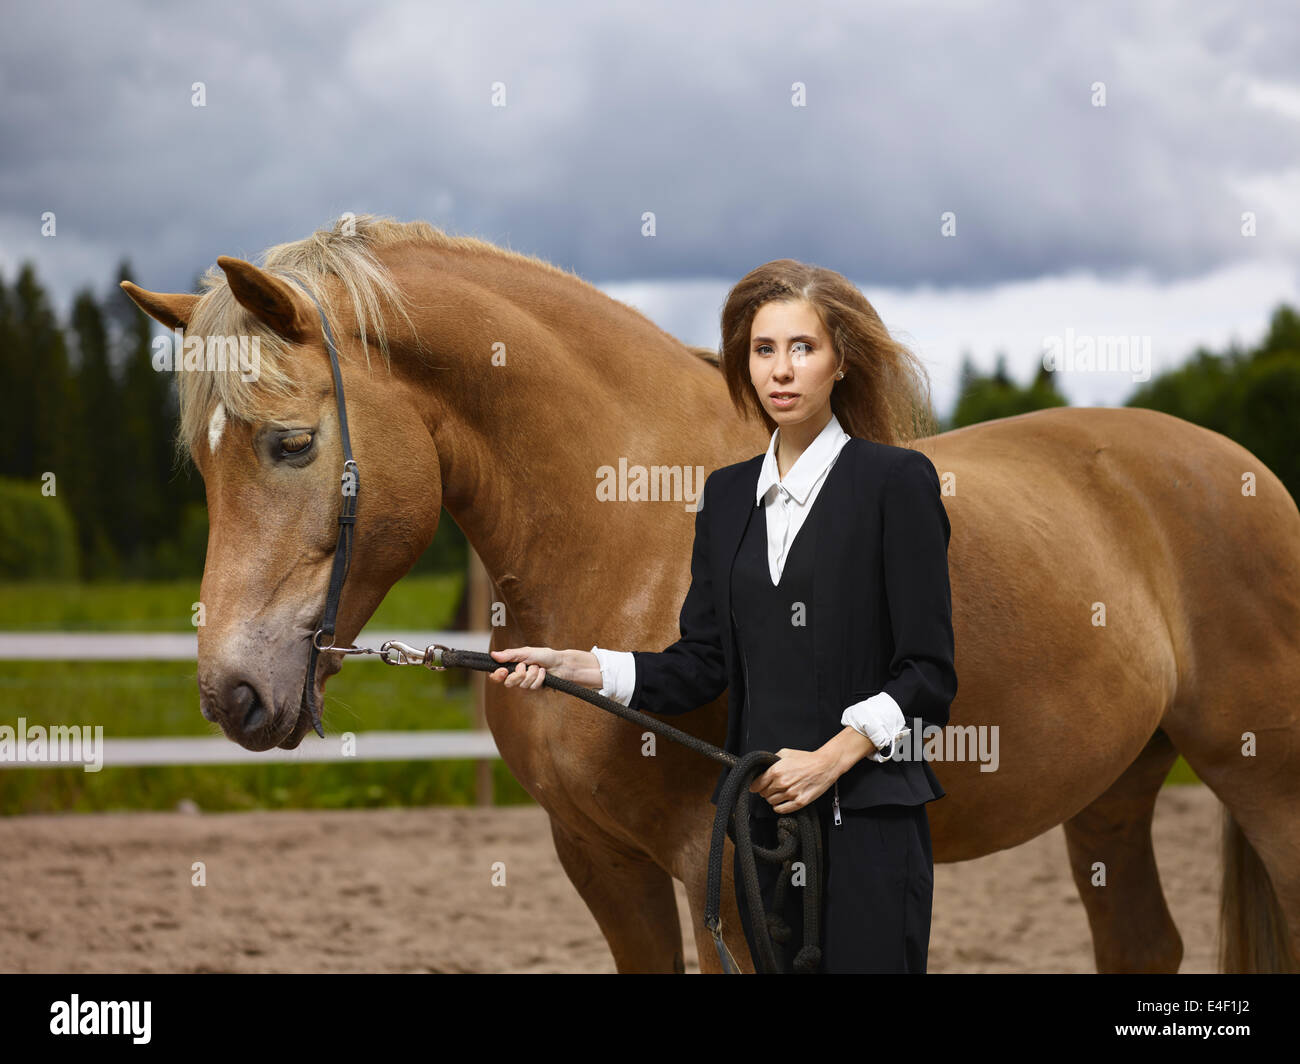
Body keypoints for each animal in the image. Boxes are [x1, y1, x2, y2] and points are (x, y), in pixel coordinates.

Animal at [121, 215, 1300, 973]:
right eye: (201, 465)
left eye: (290, 443)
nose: (232, 694)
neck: (624, 528)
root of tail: (1253, 475)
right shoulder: (603, 864)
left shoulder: (728, 869)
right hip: (1112, 791)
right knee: (1142, 943)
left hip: (1264, 776)